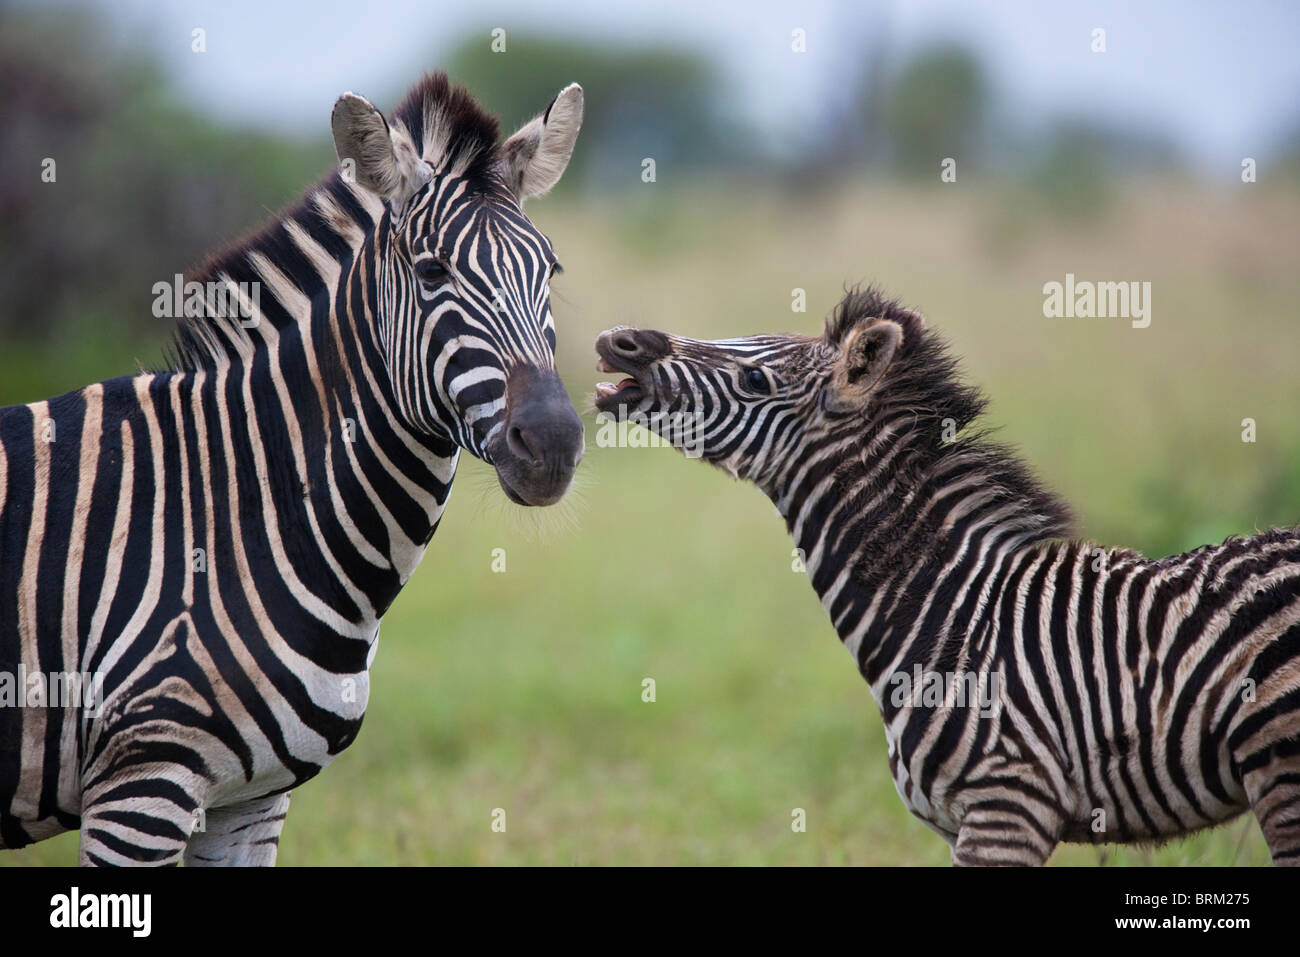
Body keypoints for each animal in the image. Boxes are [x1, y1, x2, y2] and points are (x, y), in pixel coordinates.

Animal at [0, 71, 586, 865]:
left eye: (550, 270)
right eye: (433, 271)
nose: (553, 444)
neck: (242, 505)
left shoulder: (250, 799)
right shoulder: (140, 788)